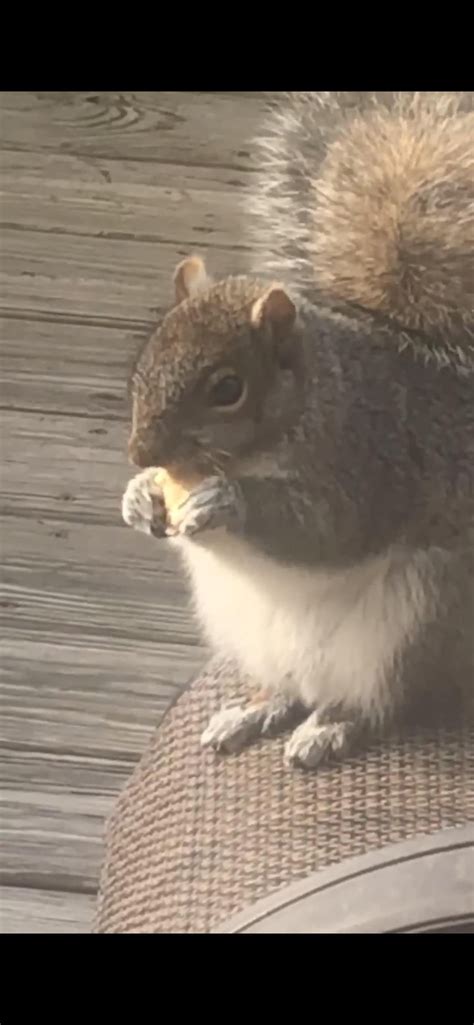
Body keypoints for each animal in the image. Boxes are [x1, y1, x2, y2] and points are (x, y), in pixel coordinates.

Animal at [122, 92, 473, 770]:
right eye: (145, 360)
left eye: (227, 388)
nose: (139, 451)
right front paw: (140, 493)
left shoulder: (372, 457)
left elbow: (326, 530)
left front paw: (226, 501)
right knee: (289, 689)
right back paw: (253, 711)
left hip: (412, 627)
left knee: (380, 702)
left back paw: (330, 726)